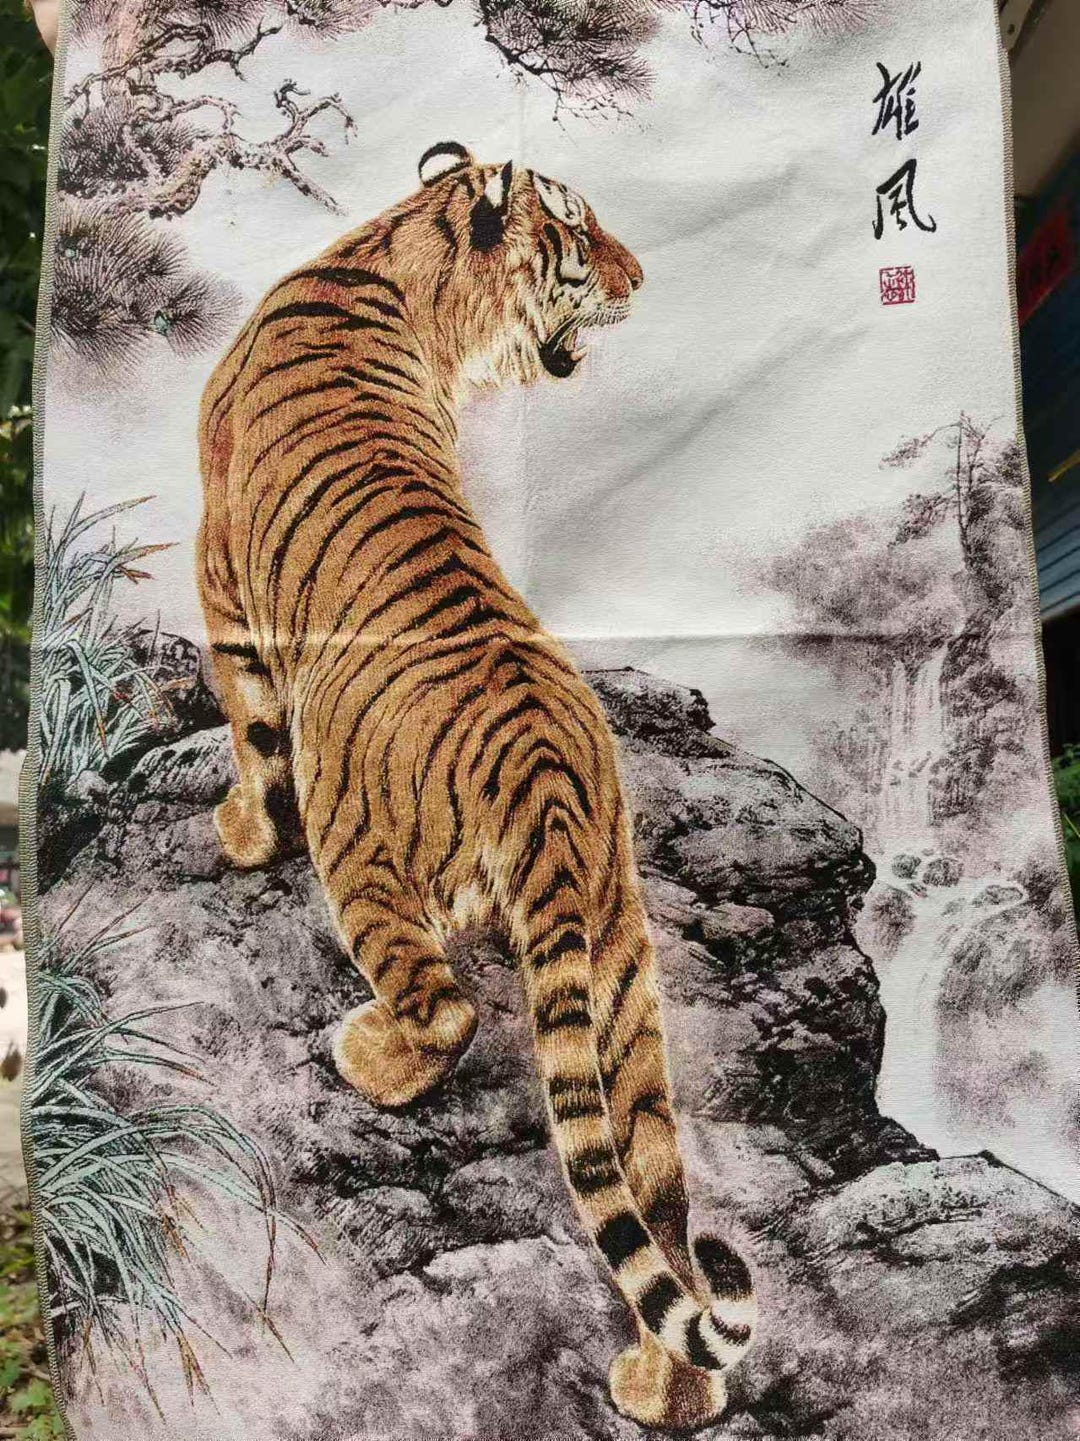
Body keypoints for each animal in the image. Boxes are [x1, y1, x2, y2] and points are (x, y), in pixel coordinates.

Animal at [196, 141, 756, 1430]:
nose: (642, 277)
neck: (396, 253)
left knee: (443, 1007)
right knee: (657, 1205)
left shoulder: (221, 578)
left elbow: (251, 730)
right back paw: (665, 1393)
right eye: (582, 237)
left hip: (365, 855)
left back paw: (368, 1056)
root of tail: (550, 778)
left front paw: (241, 833)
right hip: (621, 974)